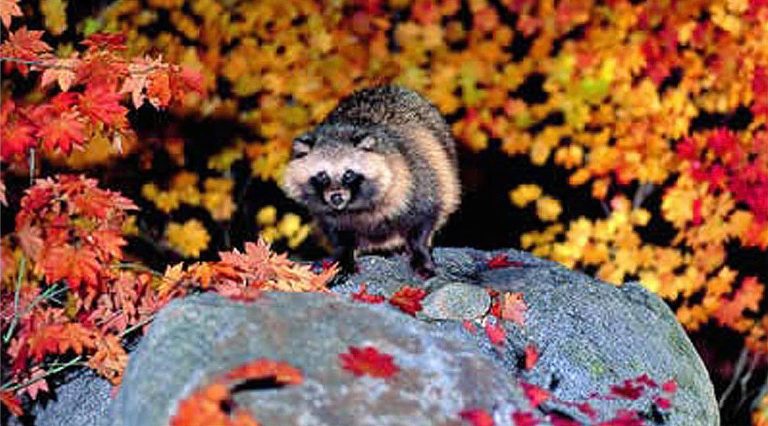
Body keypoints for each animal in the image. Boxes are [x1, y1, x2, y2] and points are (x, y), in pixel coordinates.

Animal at [281, 86, 461, 277]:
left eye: (348, 174)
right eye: (322, 175)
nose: (336, 197)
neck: (355, 206)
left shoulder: (419, 176)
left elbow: (424, 218)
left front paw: (420, 253)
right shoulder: (327, 213)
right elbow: (339, 235)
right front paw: (344, 257)